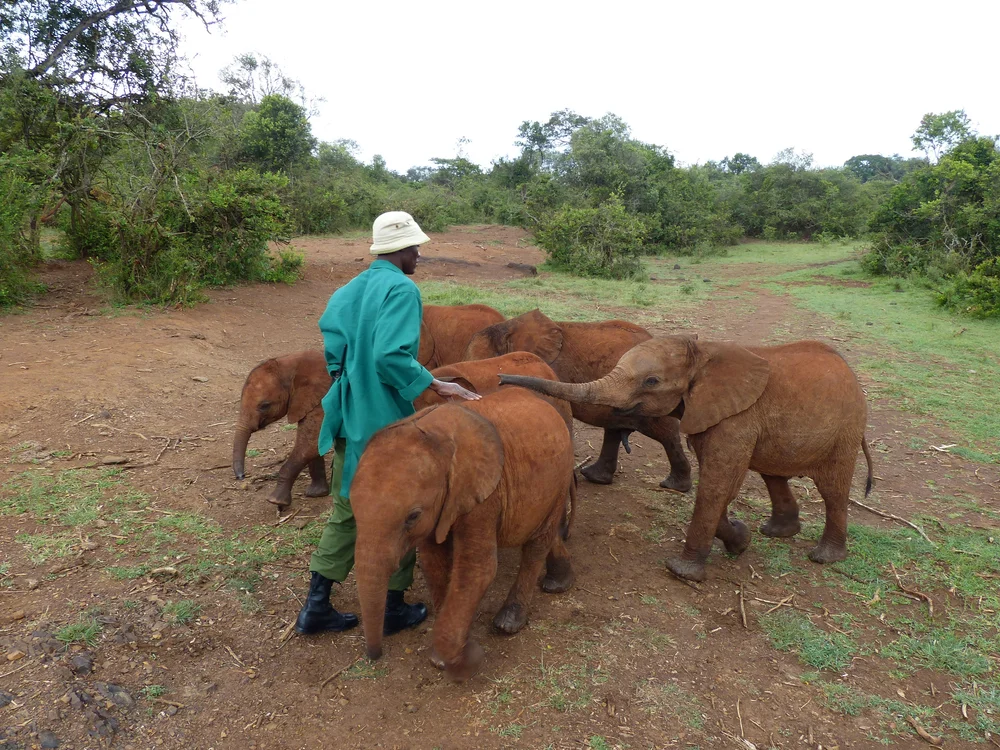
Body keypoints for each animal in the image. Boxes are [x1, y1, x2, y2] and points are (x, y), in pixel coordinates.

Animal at [232, 350, 331, 507]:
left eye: (264, 405)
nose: (241, 476)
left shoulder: (325, 396)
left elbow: (311, 443)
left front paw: (275, 501)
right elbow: (314, 443)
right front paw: (316, 493)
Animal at [352, 387, 576, 682]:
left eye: (412, 516)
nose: (375, 655)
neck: (432, 432)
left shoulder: (484, 495)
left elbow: (477, 569)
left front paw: (467, 659)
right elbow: (434, 563)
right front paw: (447, 657)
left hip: (561, 474)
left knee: (536, 544)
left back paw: (509, 622)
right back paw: (559, 583)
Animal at [463, 309, 692, 492]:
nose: (501, 379)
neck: (509, 326)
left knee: (665, 432)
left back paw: (675, 486)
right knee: (614, 428)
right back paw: (594, 476)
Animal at [500, 337, 875, 582]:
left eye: (652, 381)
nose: (502, 378)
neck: (703, 351)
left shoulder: (738, 418)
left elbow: (718, 484)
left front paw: (683, 572)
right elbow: (718, 483)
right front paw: (740, 539)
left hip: (847, 427)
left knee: (833, 488)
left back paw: (824, 557)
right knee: (773, 474)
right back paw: (777, 533)